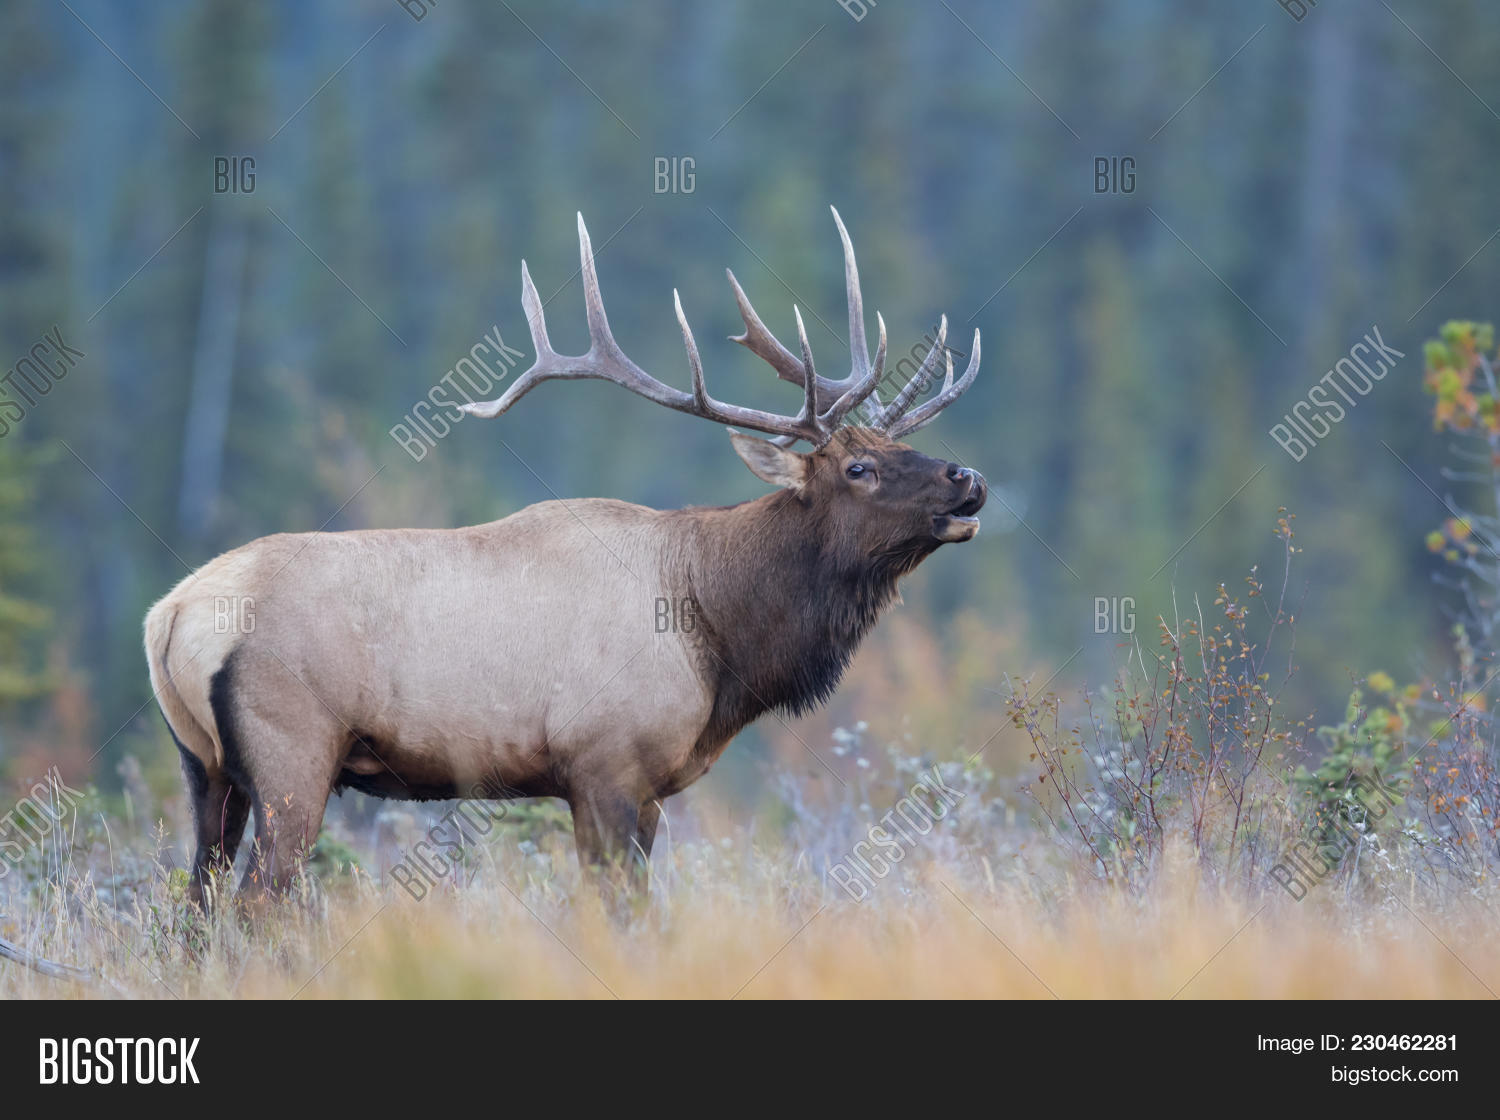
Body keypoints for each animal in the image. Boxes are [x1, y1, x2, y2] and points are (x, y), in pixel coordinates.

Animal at [144, 208, 986, 906]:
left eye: (898, 447)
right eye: (858, 467)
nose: (968, 479)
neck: (717, 635)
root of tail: (168, 615)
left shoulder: (644, 790)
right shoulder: (606, 764)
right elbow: (617, 912)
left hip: (205, 769)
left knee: (197, 910)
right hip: (292, 754)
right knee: (256, 905)